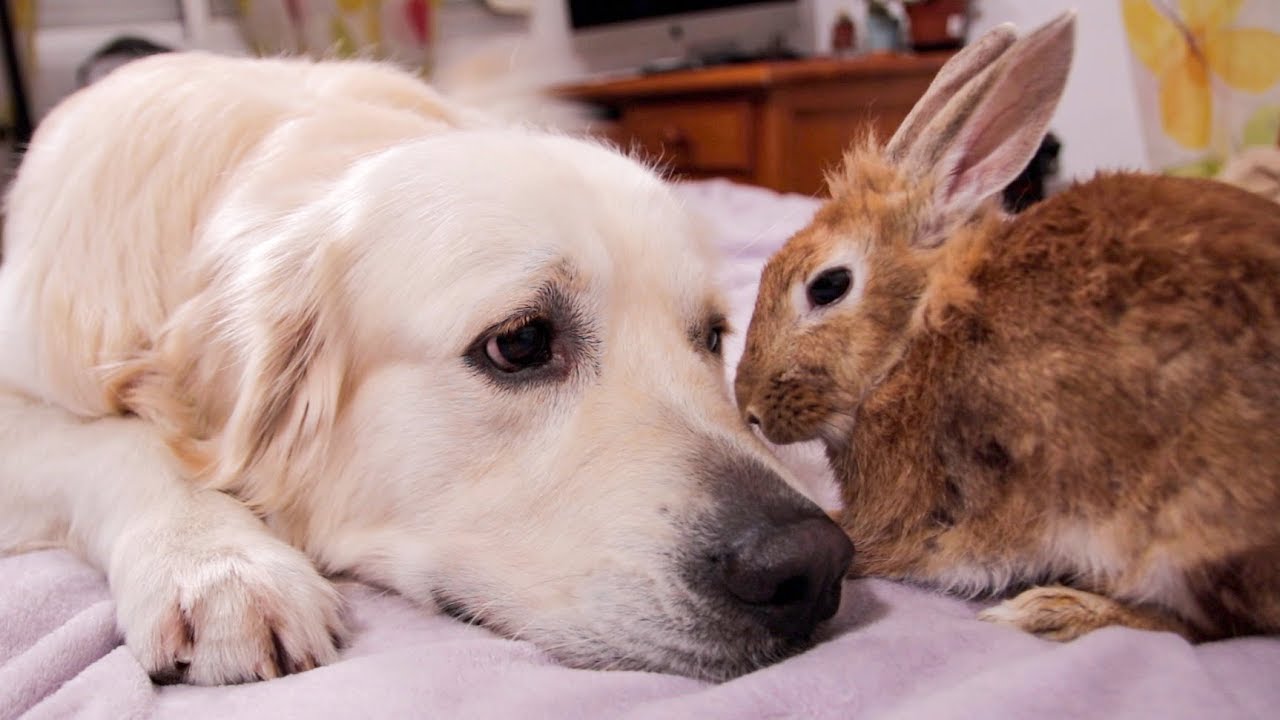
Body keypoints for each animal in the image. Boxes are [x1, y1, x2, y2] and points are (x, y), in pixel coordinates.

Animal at [734, 11, 1280, 643]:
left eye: (827, 286)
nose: (748, 406)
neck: (916, 336)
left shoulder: (912, 517)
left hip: (1177, 532)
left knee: (1201, 625)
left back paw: (1052, 610)